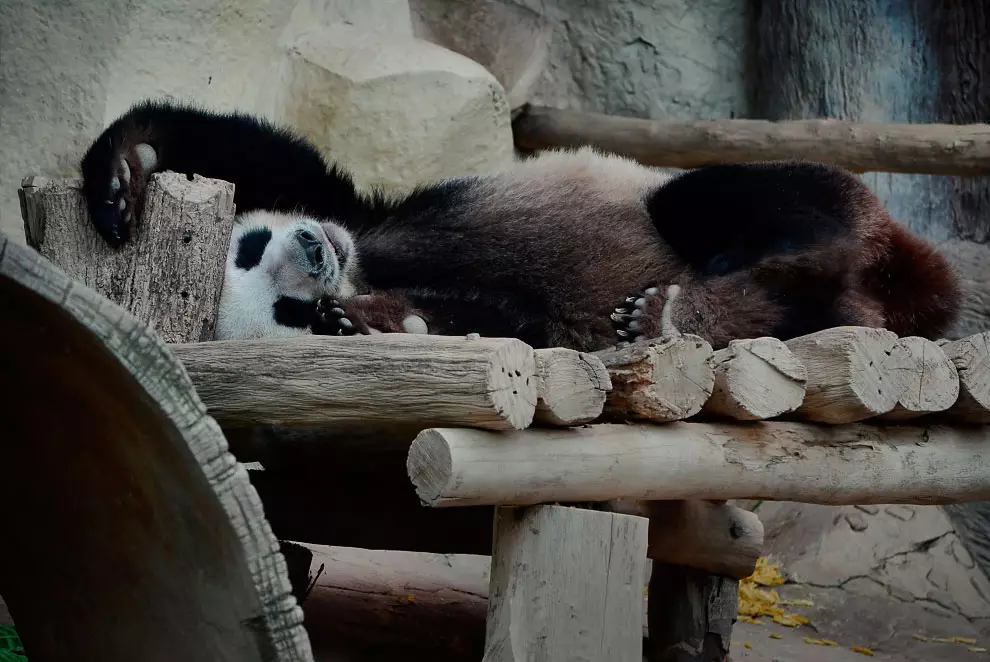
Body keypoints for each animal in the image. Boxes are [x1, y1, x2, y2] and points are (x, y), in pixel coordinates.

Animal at [81, 98, 964, 350]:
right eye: (287, 311)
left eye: (253, 243)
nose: (310, 249)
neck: (366, 261)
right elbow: (510, 324)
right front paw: (370, 322)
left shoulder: (354, 211)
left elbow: (269, 156)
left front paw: (120, 179)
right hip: (832, 309)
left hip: (811, 195)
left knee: (716, 202)